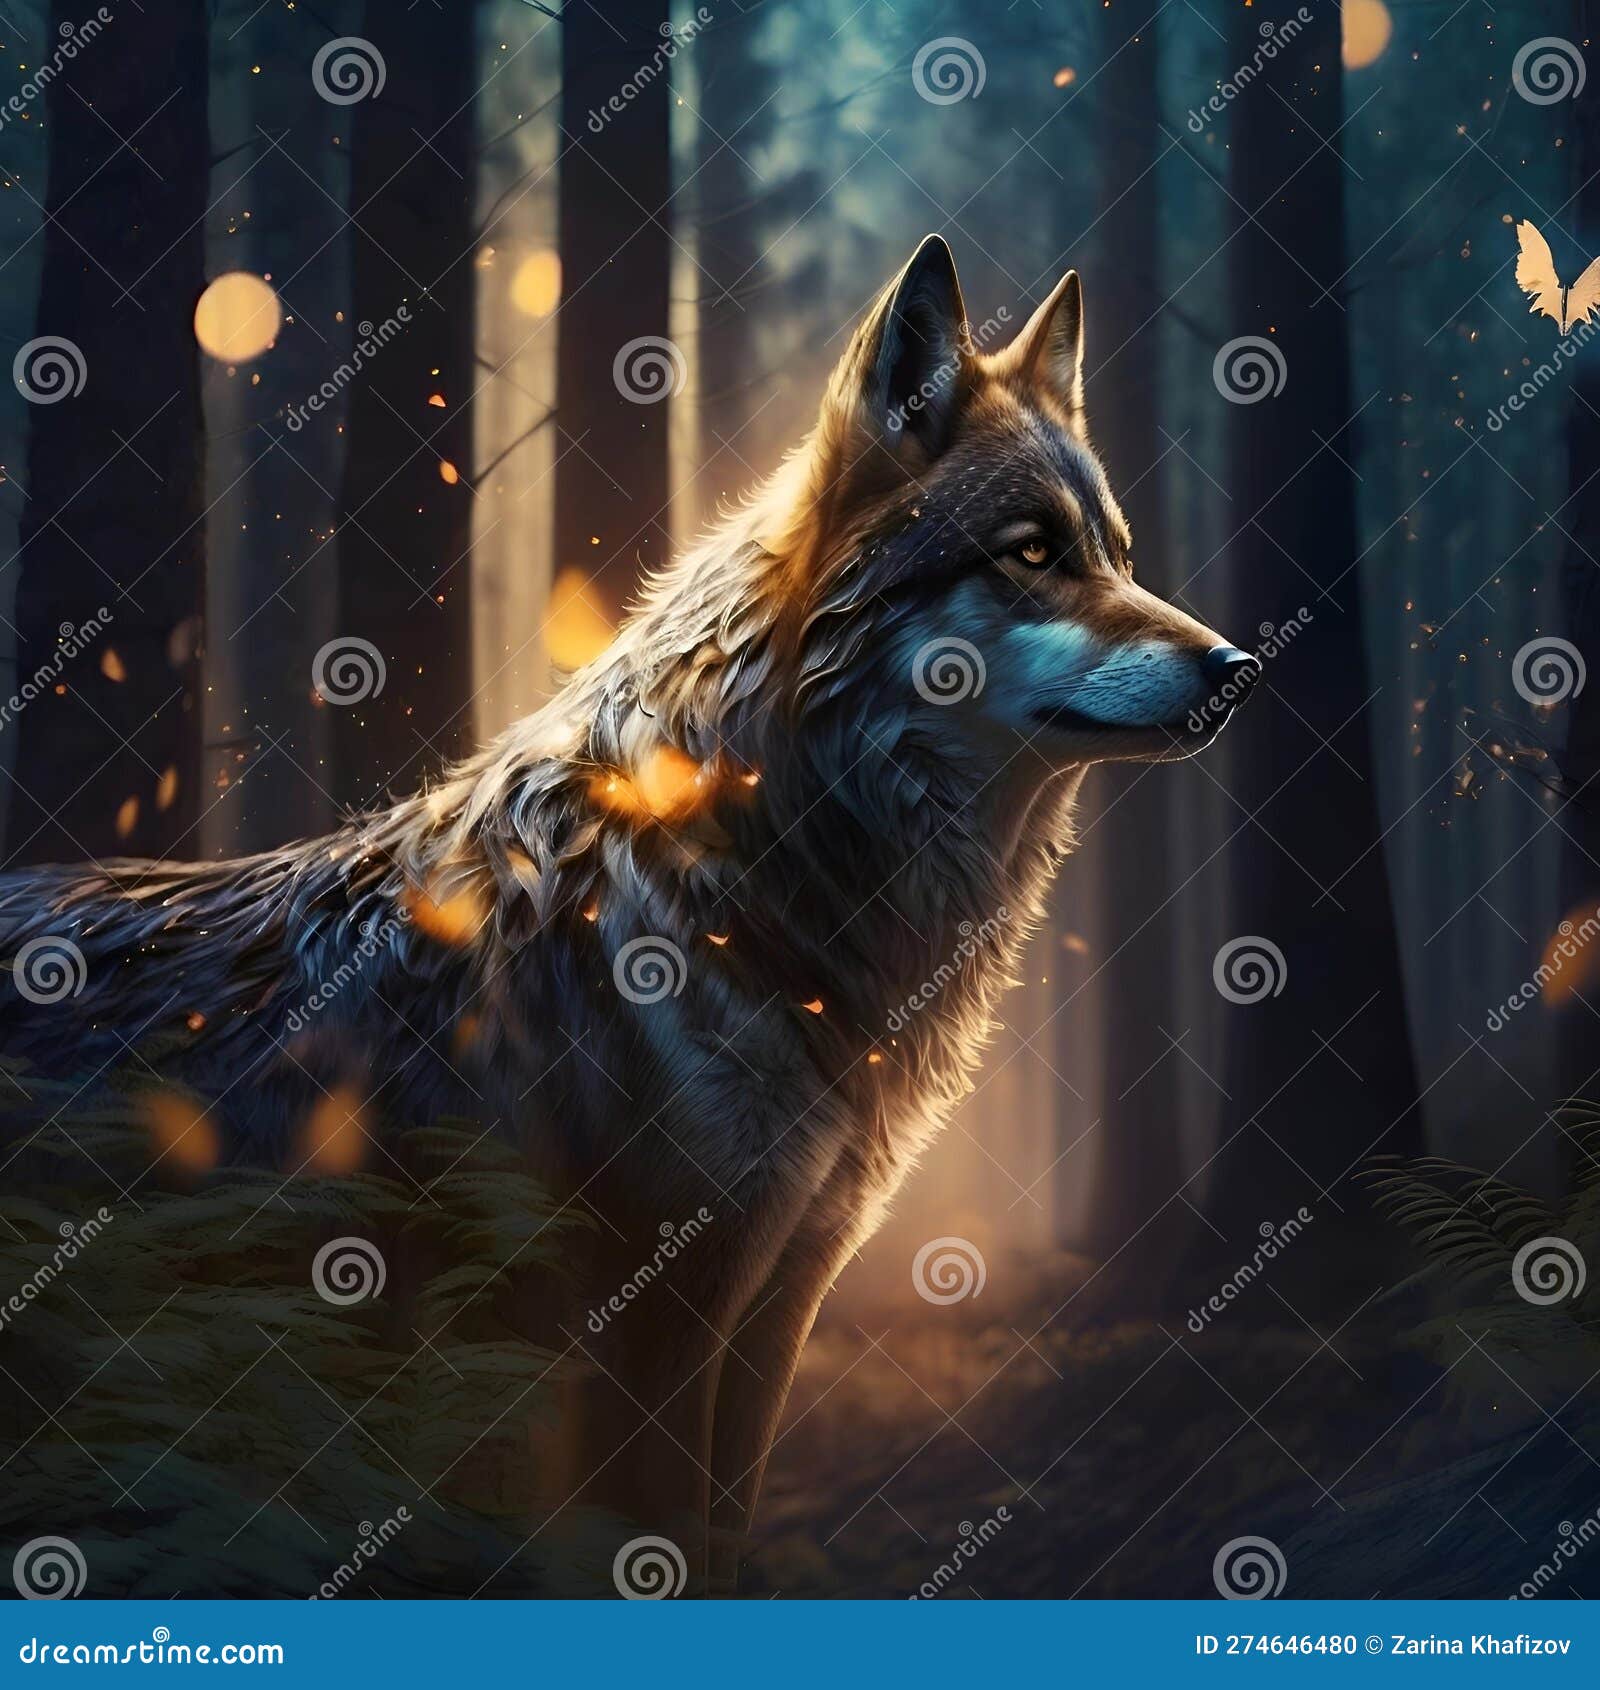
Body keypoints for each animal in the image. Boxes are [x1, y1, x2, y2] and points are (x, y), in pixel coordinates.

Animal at [0, 237, 1257, 1591]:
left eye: (1117, 554)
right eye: (1030, 552)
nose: (1239, 668)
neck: (742, 873)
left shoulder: (774, 1304)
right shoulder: (649, 1320)